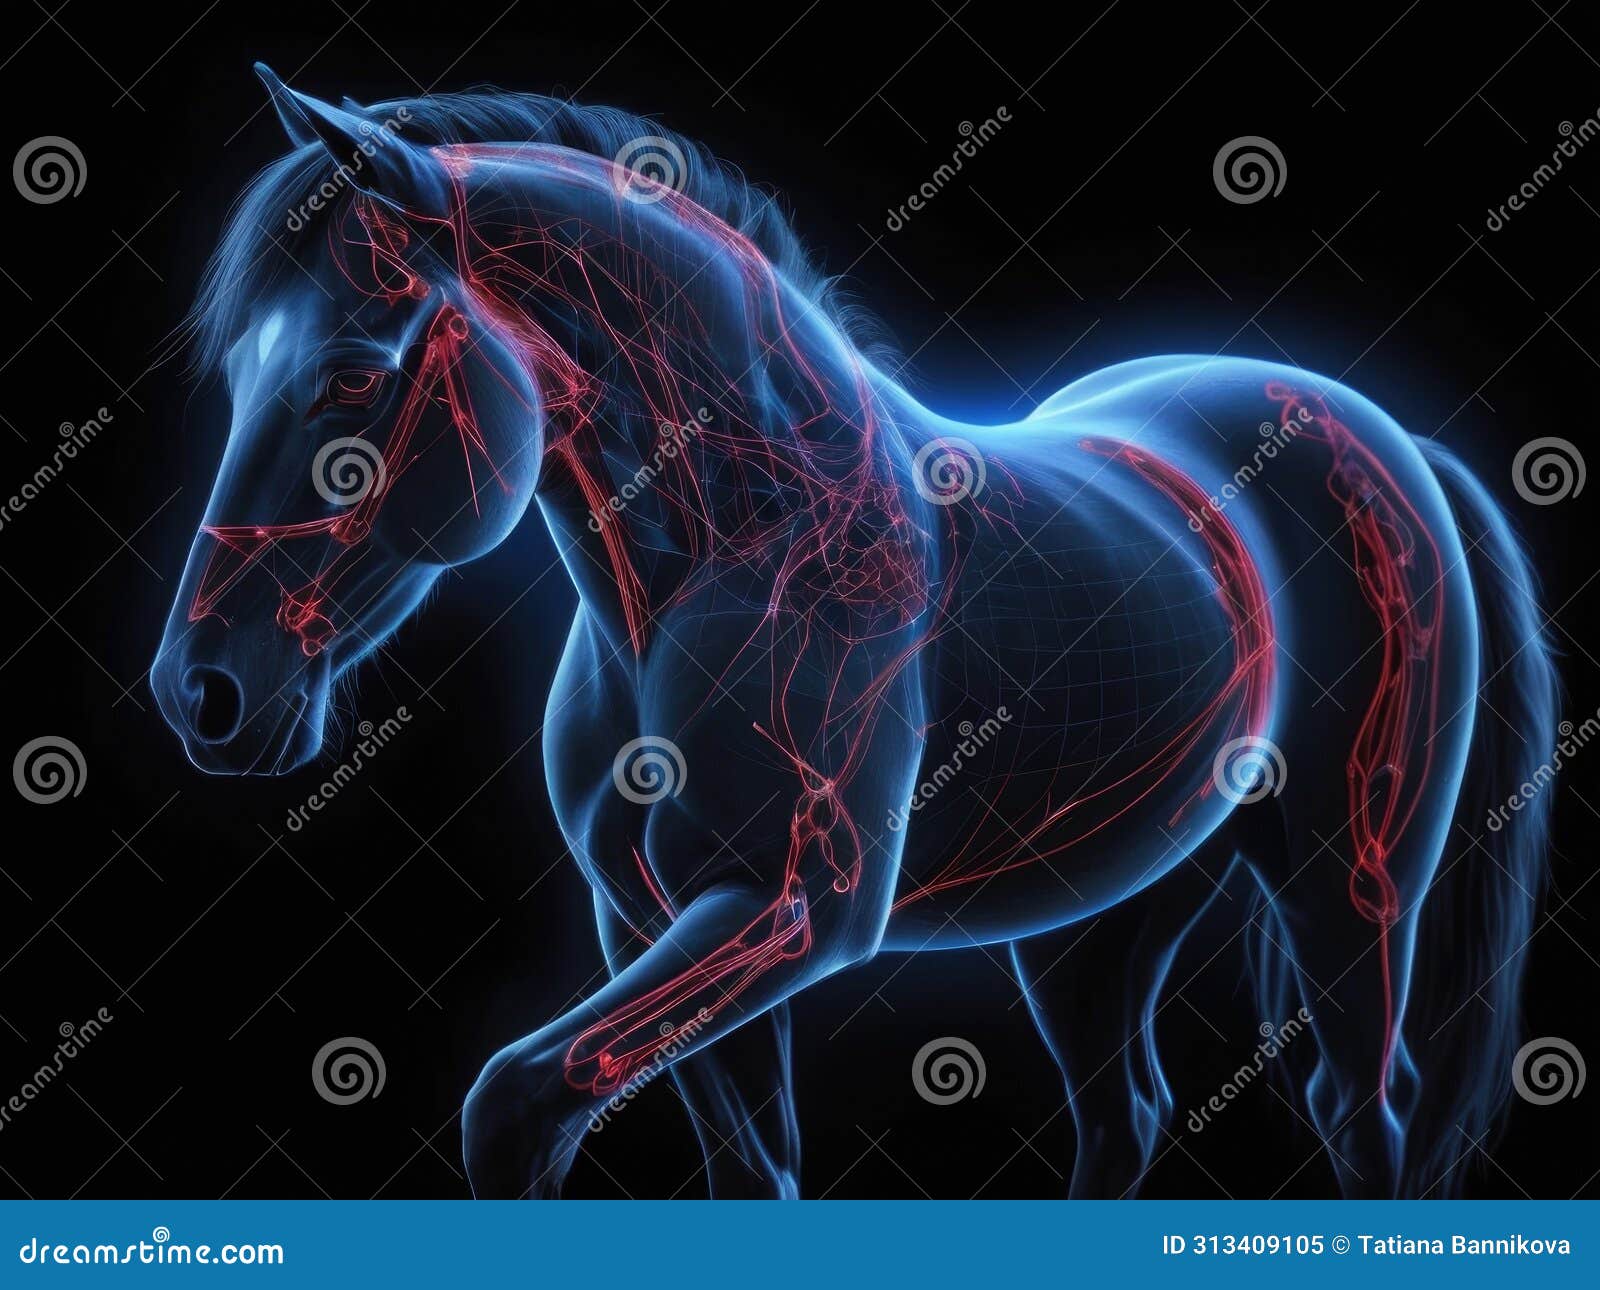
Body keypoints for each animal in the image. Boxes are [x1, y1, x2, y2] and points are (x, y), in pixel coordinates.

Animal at [150, 65, 1559, 1200]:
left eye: (350, 377)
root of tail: (1380, 437)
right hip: (1100, 912)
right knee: (1124, 1115)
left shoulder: (790, 913)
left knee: (1359, 1111)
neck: (749, 540)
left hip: (1349, 883)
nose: (199, 695)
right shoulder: (641, 919)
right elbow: (750, 1170)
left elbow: (512, 1102)